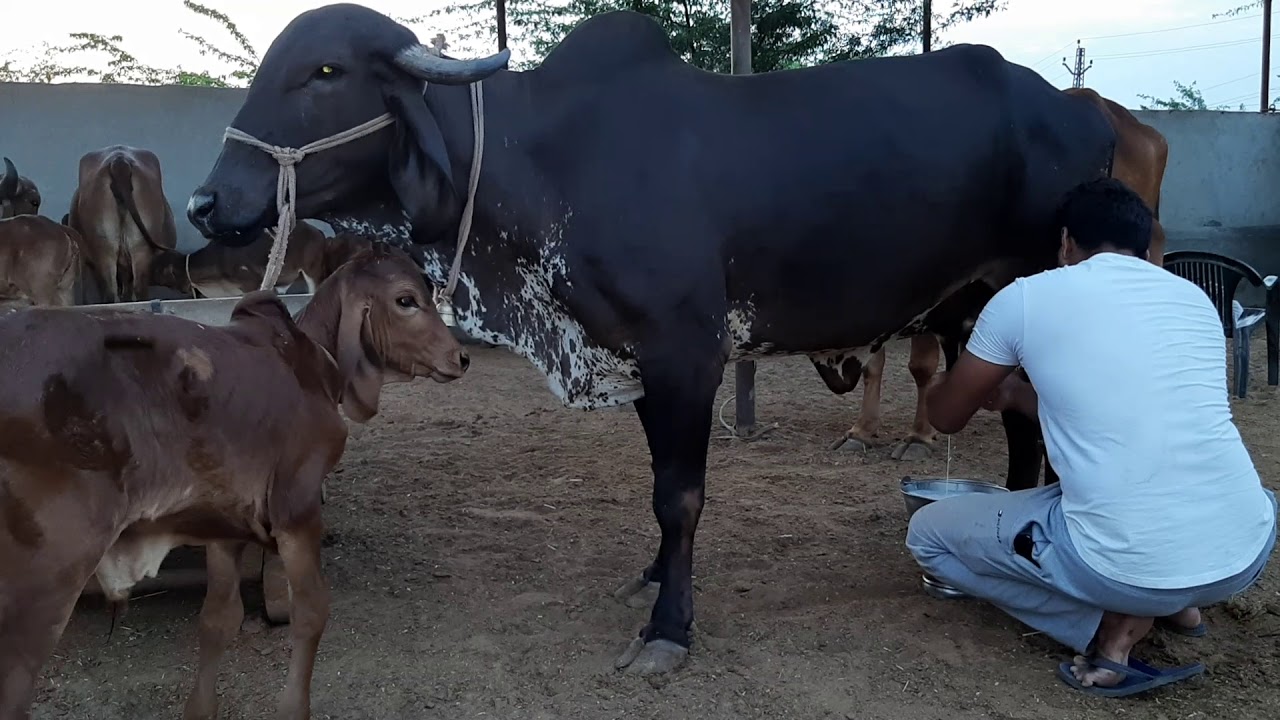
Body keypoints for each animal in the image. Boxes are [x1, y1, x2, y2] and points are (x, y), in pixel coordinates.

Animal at [0, 243, 468, 720]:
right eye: (406, 300)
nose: (461, 357)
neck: (316, 359)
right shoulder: (297, 512)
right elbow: (311, 612)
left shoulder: (226, 524)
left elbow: (218, 619)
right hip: (46, 577)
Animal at [185, 5, 1123, 675]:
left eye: (325, 71)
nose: (205, 201)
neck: (547, 162)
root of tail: (1080, 111)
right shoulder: (631, 359)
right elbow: (655, 493)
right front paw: (655, 575)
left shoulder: (686, 356)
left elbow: (681, 496)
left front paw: (670, 627)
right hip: (982, 311)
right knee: (1023, 428)